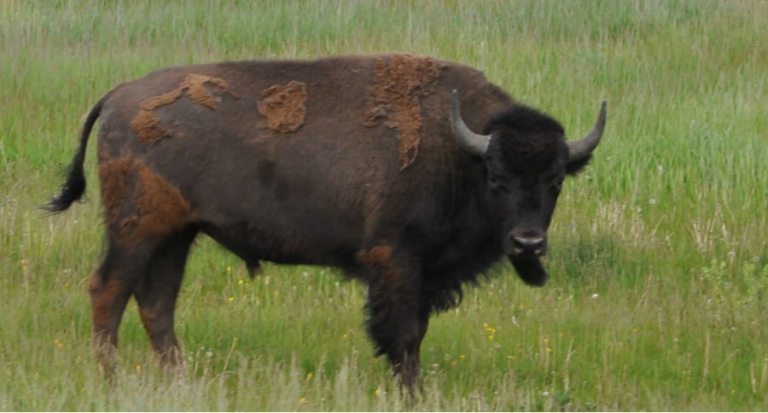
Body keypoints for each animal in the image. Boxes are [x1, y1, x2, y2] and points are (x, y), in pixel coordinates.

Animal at [47, 54, 606, 388]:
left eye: (557, 179)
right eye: (496, 176)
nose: (528, 242)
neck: (458, 146)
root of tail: (118, 95)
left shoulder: (423, 274)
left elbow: (415, 331)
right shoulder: (396, 258)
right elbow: (403, 333)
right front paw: (412, 391)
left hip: (176, 236)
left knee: (156, 302)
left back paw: (180, 379)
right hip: (136, 230)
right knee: (108, 289)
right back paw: (111, 378)